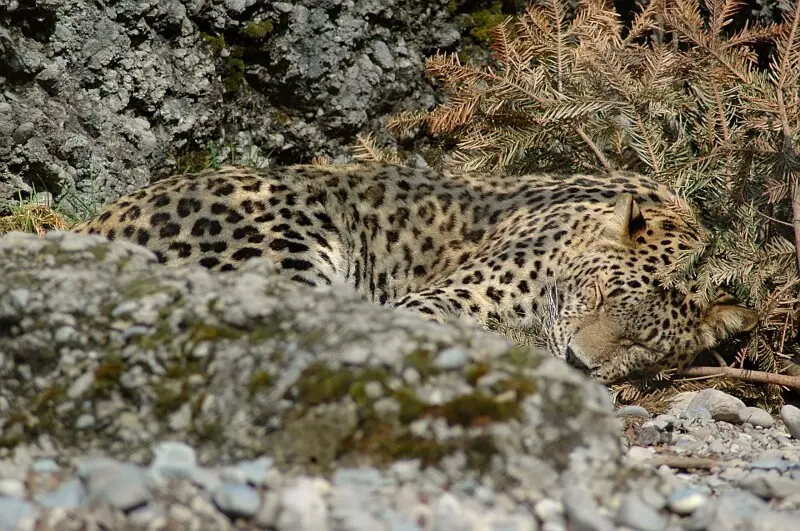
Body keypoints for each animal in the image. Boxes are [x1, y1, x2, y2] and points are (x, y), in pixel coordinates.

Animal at [72, 162, 758, 383]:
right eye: (594, 297)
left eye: (642, 345)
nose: (580, 363)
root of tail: (93, 224)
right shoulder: (435, 301)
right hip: (286, 245)